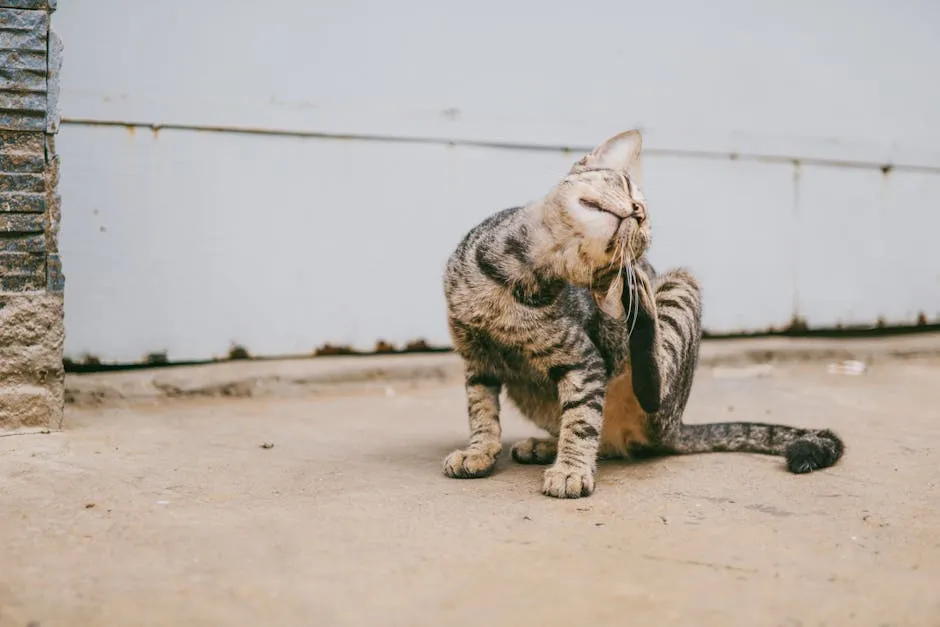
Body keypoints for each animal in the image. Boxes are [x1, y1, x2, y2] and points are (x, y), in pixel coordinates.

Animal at [440, 129, 844, 500]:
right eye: (624, 185)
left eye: (644, 229)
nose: (638, 211)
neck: (515, 276)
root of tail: (676, 426)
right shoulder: (477, 359)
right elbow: (482, 411)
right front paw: (478, 451)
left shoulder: (584, 361)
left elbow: (582, 420)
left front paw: (571, 469)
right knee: (597, 437)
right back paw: (544, 445)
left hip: (679, 294)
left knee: (649, 388)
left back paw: (637, 299)